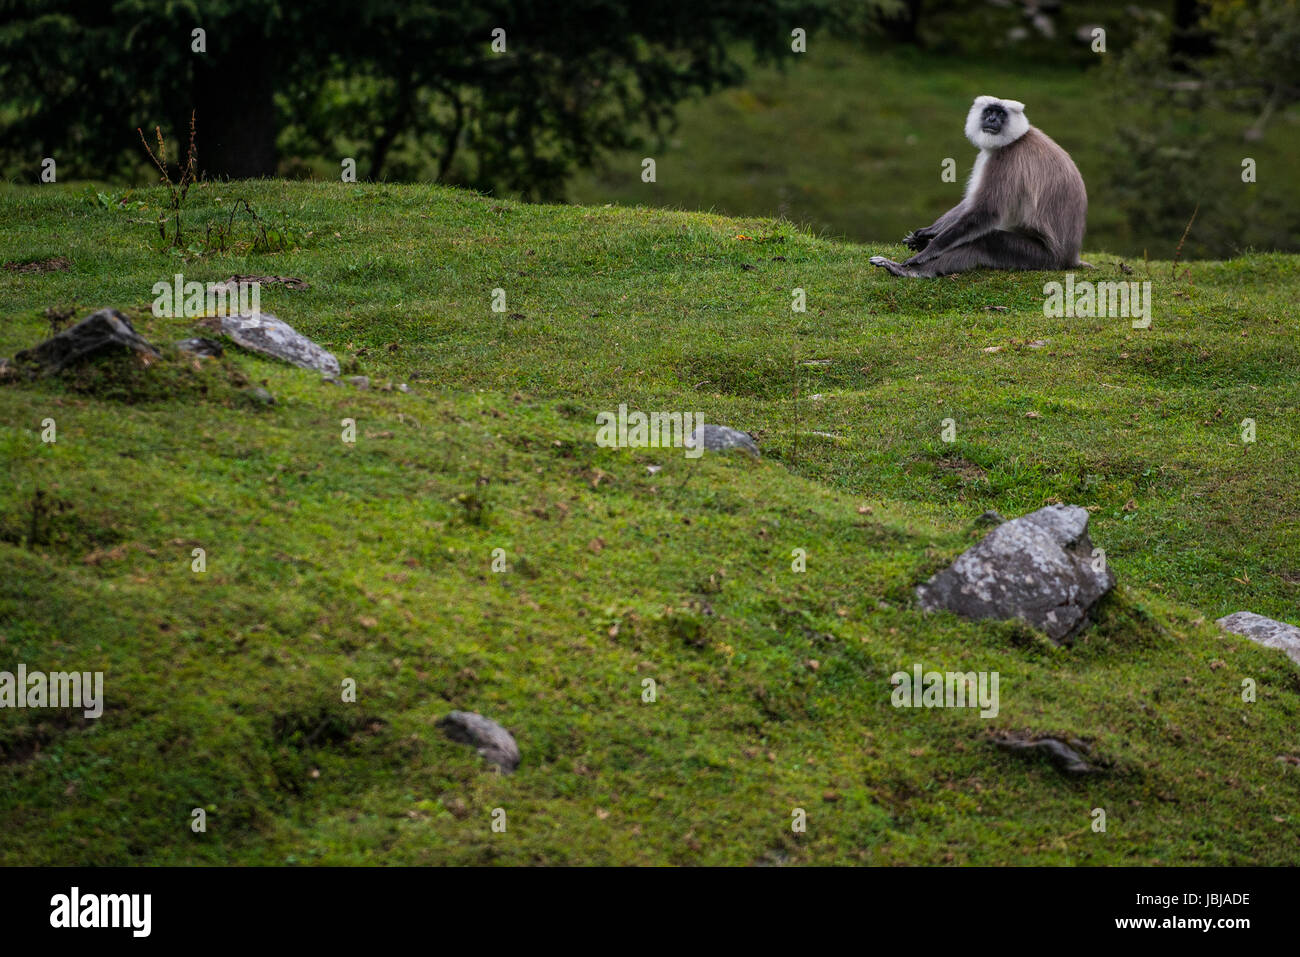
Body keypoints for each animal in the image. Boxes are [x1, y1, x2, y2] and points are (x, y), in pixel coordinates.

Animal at [869, 96, 1089, 278]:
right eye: (989, 111)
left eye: (1000, 114)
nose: (992, 119)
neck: (1017, 138)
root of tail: (1070, 258)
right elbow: (969, 203)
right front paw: (926, 233)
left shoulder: (1006, 159)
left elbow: (985, 211)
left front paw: (926, 253)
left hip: (1040, 257)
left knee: (985, 240)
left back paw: (908, 270)